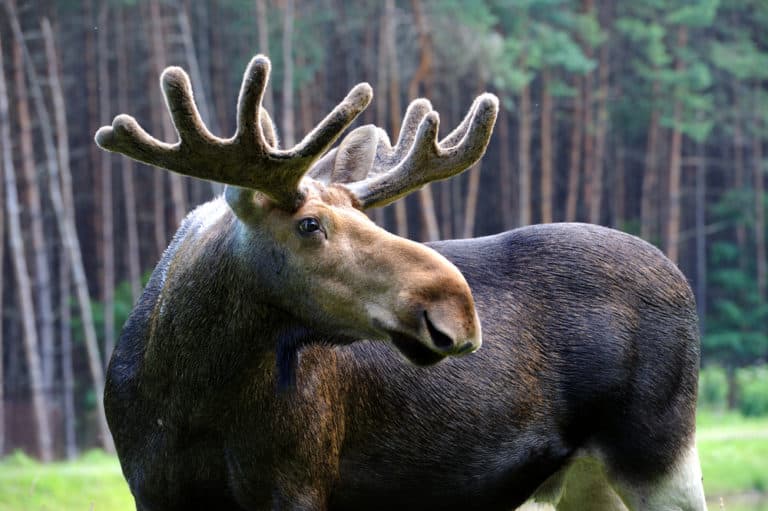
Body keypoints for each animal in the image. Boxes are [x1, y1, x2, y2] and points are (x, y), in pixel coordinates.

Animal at [96, 55, 707, 511]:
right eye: (309, 224)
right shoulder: (150, 491)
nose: (458, 308)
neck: (190, 391)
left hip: (660, 452)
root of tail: (681, 276)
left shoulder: (297, 483)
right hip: (588, 477)